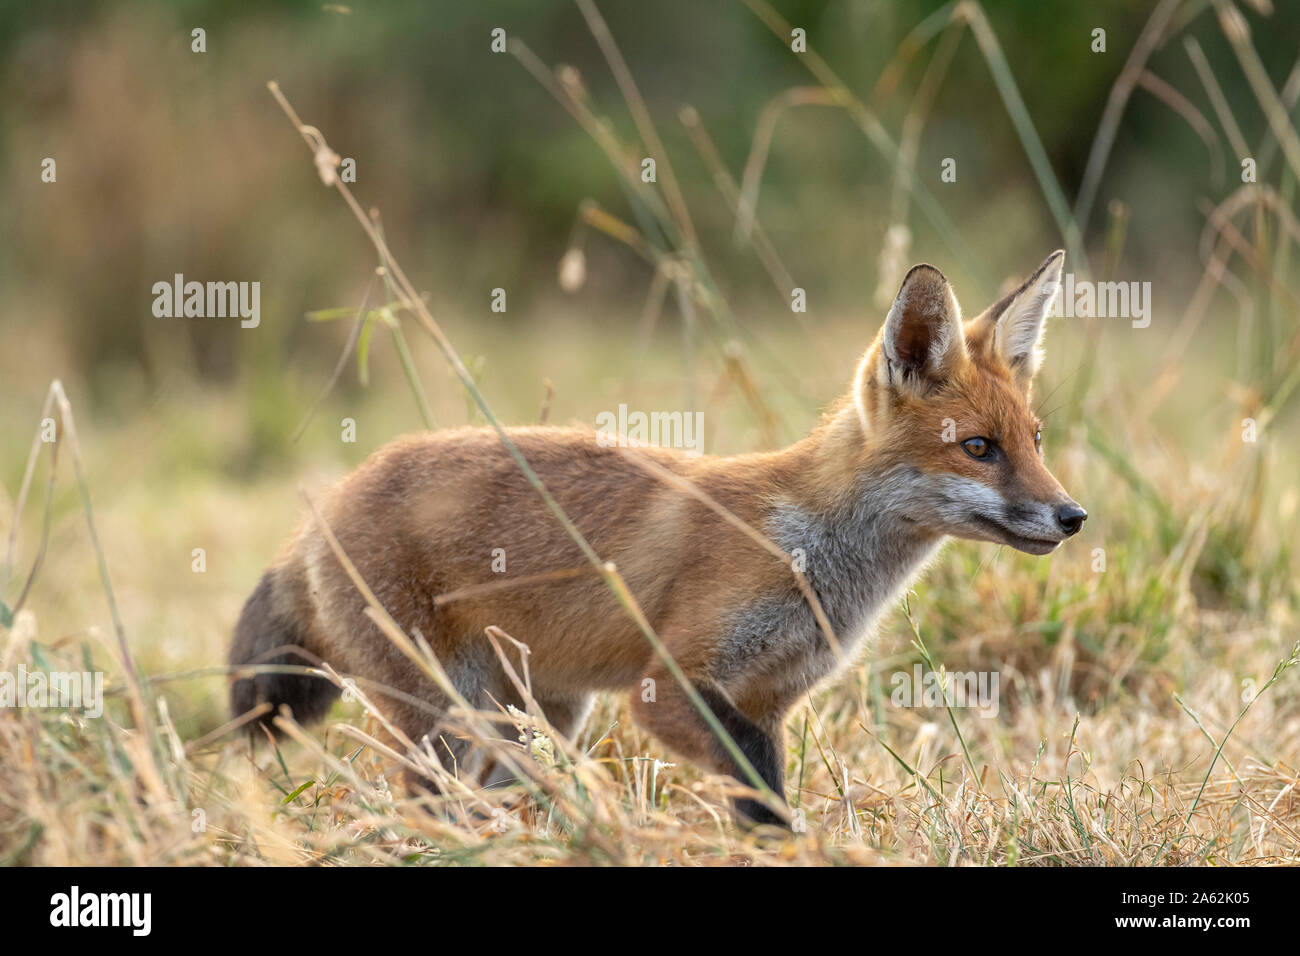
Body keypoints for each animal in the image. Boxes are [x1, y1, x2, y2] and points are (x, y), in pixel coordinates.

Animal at [230, 249, 1085, 825]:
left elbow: (761, 798)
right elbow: (760, 792)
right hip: (448, 713)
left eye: (1037, 440)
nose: (1073, 516)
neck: (811, 556)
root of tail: (322, 503)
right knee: (422, 806)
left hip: (535, 718)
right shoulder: (670, 686)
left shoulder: (768, 701)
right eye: (978, 448)